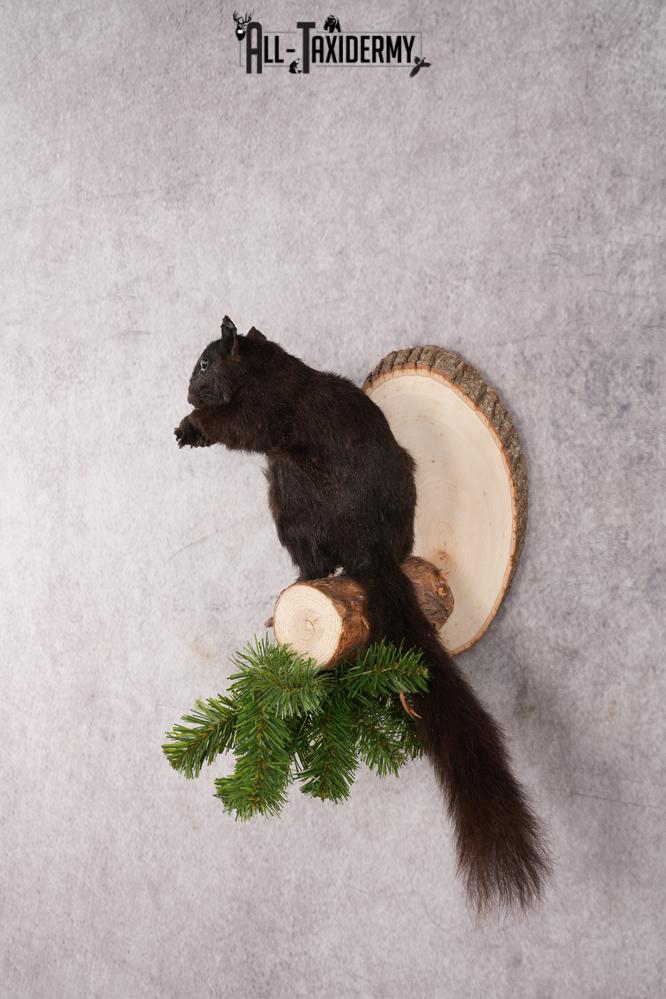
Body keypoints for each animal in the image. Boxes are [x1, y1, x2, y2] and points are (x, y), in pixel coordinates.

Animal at [175, 316, 550, 912]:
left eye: (207, 363)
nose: (189, 394)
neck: (272, 370)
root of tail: (372, 553)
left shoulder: (262, 412)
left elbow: (237, 427)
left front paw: (193, 425)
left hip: (288, 493)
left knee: (314, 557)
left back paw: (303, 578)